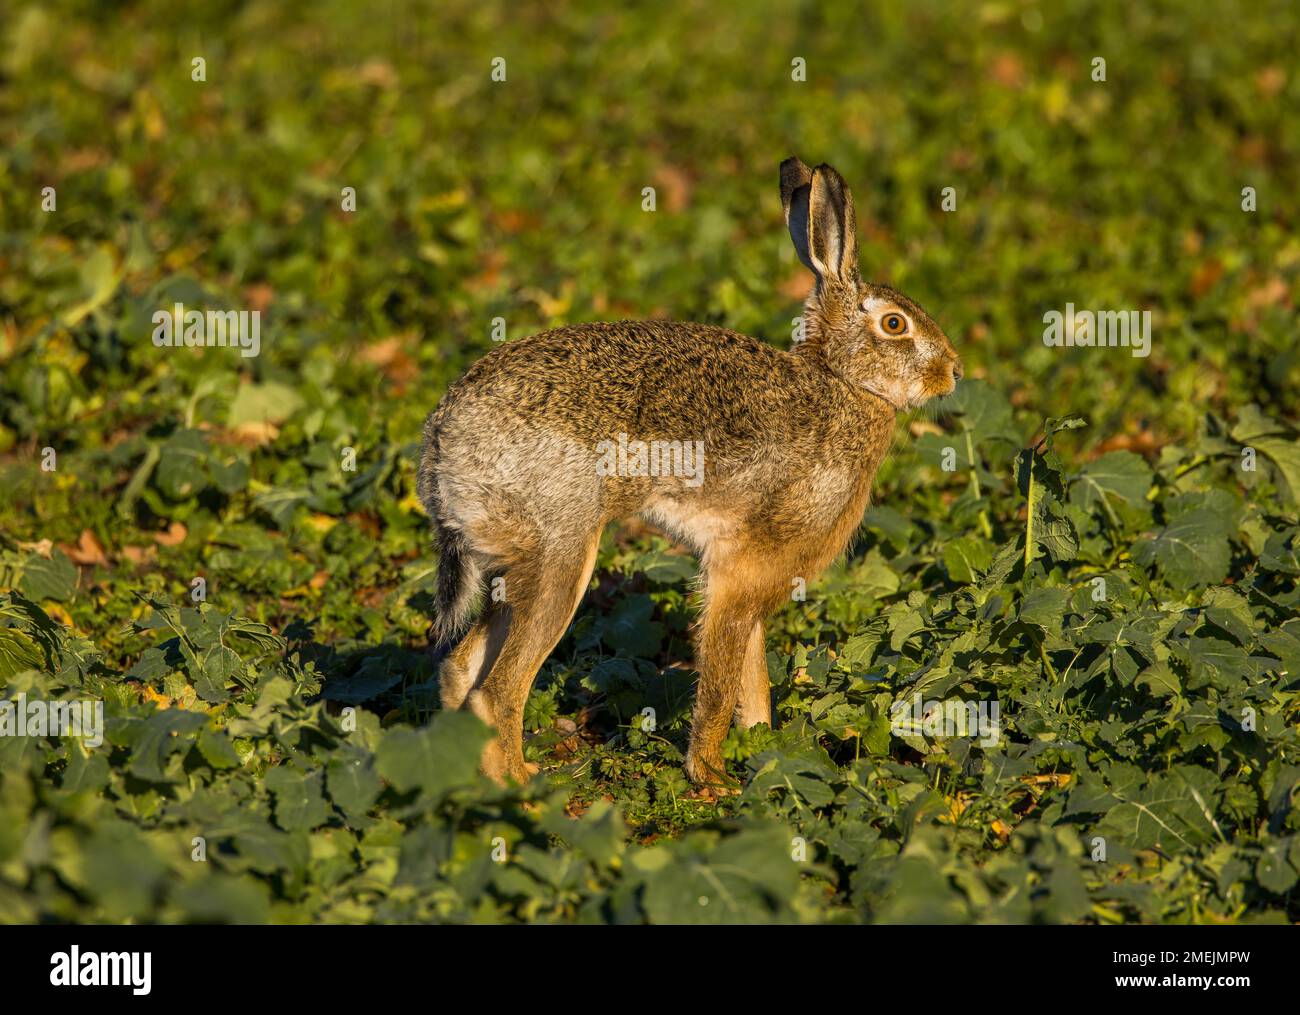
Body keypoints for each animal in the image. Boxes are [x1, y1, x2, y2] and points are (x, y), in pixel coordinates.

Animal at [417, 157, 962, 789]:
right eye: (895, 325)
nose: (954, 372)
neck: (842, 381)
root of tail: (443, 445)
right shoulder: (743, 569)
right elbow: (722, 677)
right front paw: (714, 778)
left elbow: (752, 674)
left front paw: (762, 746)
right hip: (560, 549)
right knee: (498, 689)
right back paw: (522, 787)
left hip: (514, 562)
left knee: (462, 669)